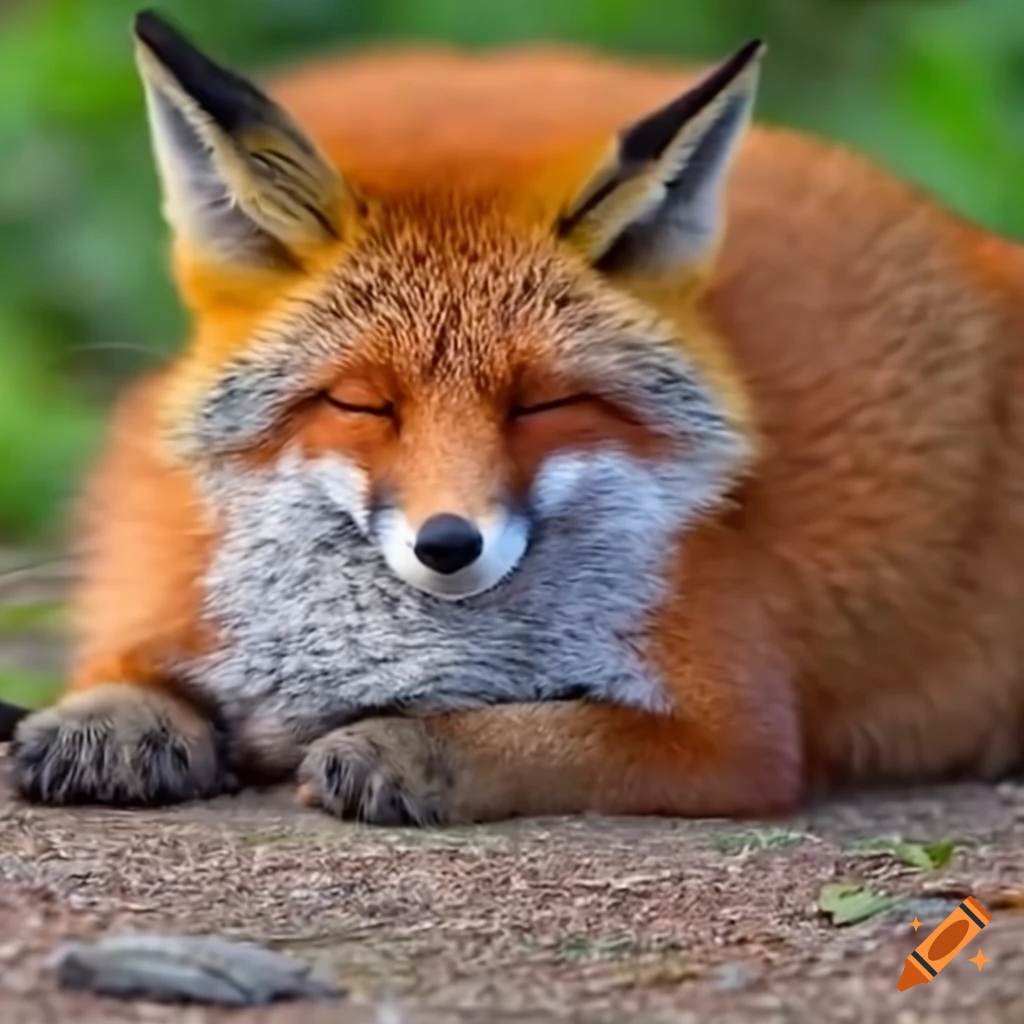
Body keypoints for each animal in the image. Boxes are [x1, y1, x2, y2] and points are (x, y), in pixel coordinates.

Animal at [7, 8, 1024, 826]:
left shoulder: (731, 729)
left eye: (541, 404)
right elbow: (131, 661)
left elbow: (544, 734)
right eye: (362, 402)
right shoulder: (180, 591)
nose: (449, 544)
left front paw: (413, 749)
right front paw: (108, 718)